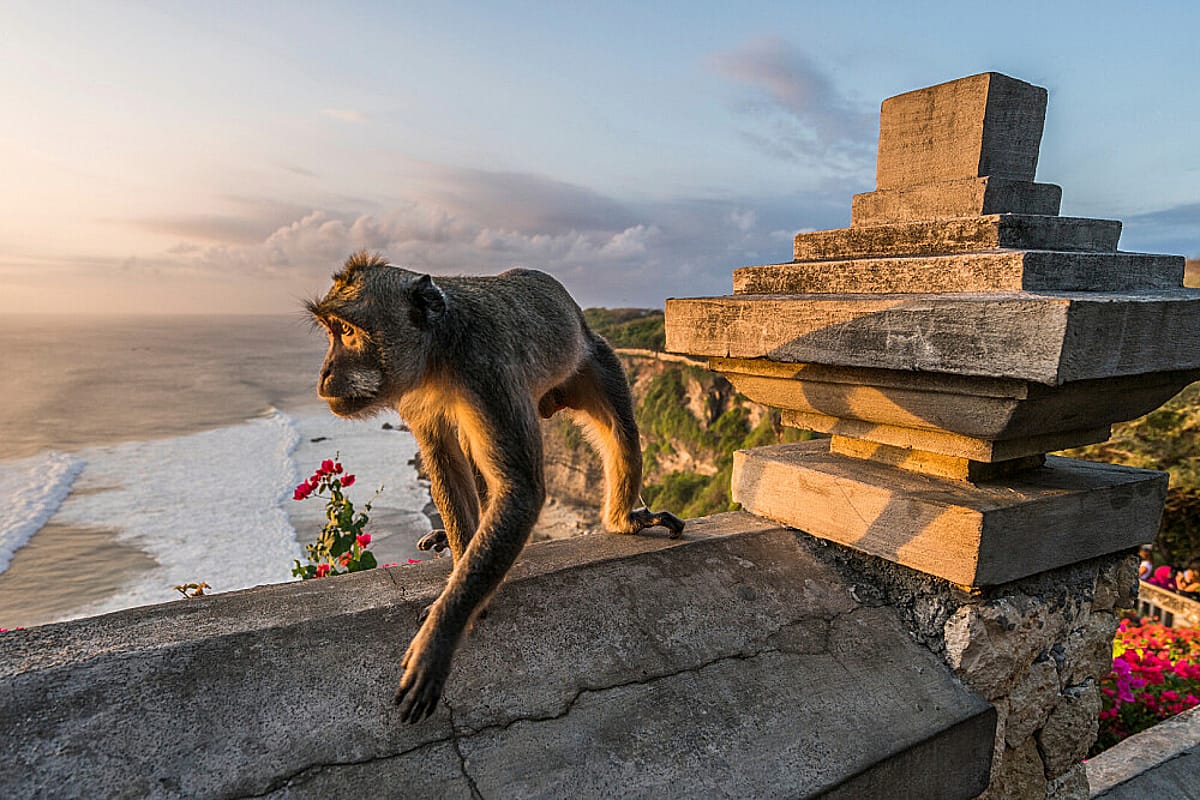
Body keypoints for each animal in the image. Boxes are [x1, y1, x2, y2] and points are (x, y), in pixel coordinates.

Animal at [307, 251, 684, 723]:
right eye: (332, 331)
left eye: (348, 332)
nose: (324, 373)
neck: (438, 354)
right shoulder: (417, 395)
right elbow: (446, 461)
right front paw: (463, 579)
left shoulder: (485, 371)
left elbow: (520, 489)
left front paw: (442, 634)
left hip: (595, 360)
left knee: (622, 431)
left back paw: (623, 520)